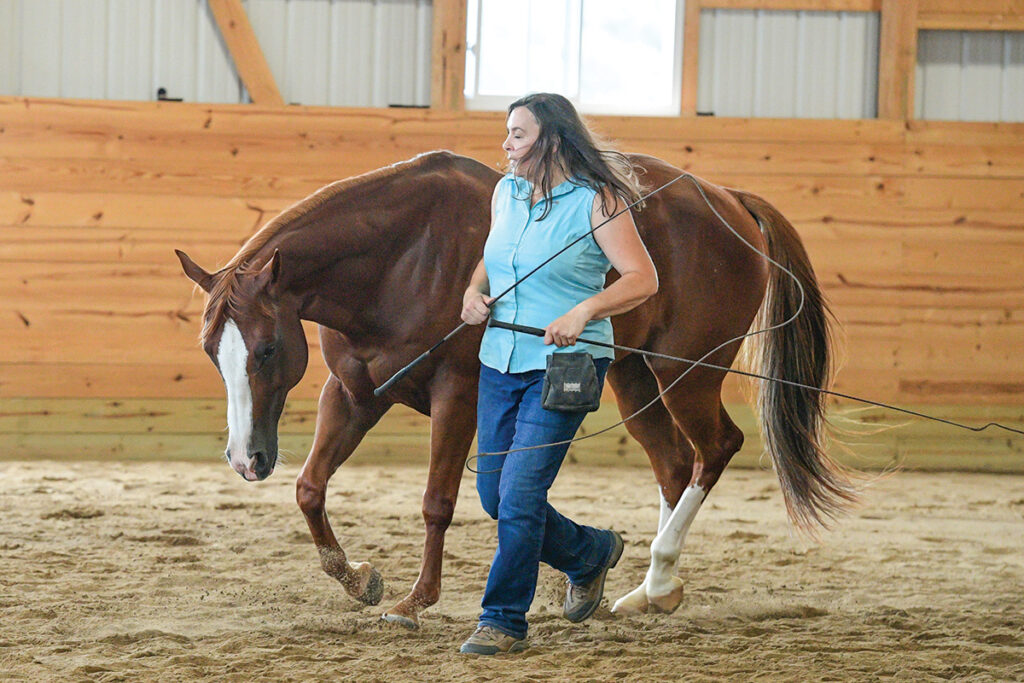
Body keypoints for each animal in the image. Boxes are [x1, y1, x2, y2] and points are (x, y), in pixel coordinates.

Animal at [176, 150, 856, 629]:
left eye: (266, 349)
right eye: (211, 351)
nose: (245, 458)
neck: (400, 255)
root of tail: (726, 199)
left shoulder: (458, 394)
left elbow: (438, 501)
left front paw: (416, 600)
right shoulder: (353, 394)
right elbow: (310, 488)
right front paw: (358, 577)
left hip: (688, 373)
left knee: (714, 450)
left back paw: (660, 579)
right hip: (635, 379)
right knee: (673, 464)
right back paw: (645, 592)